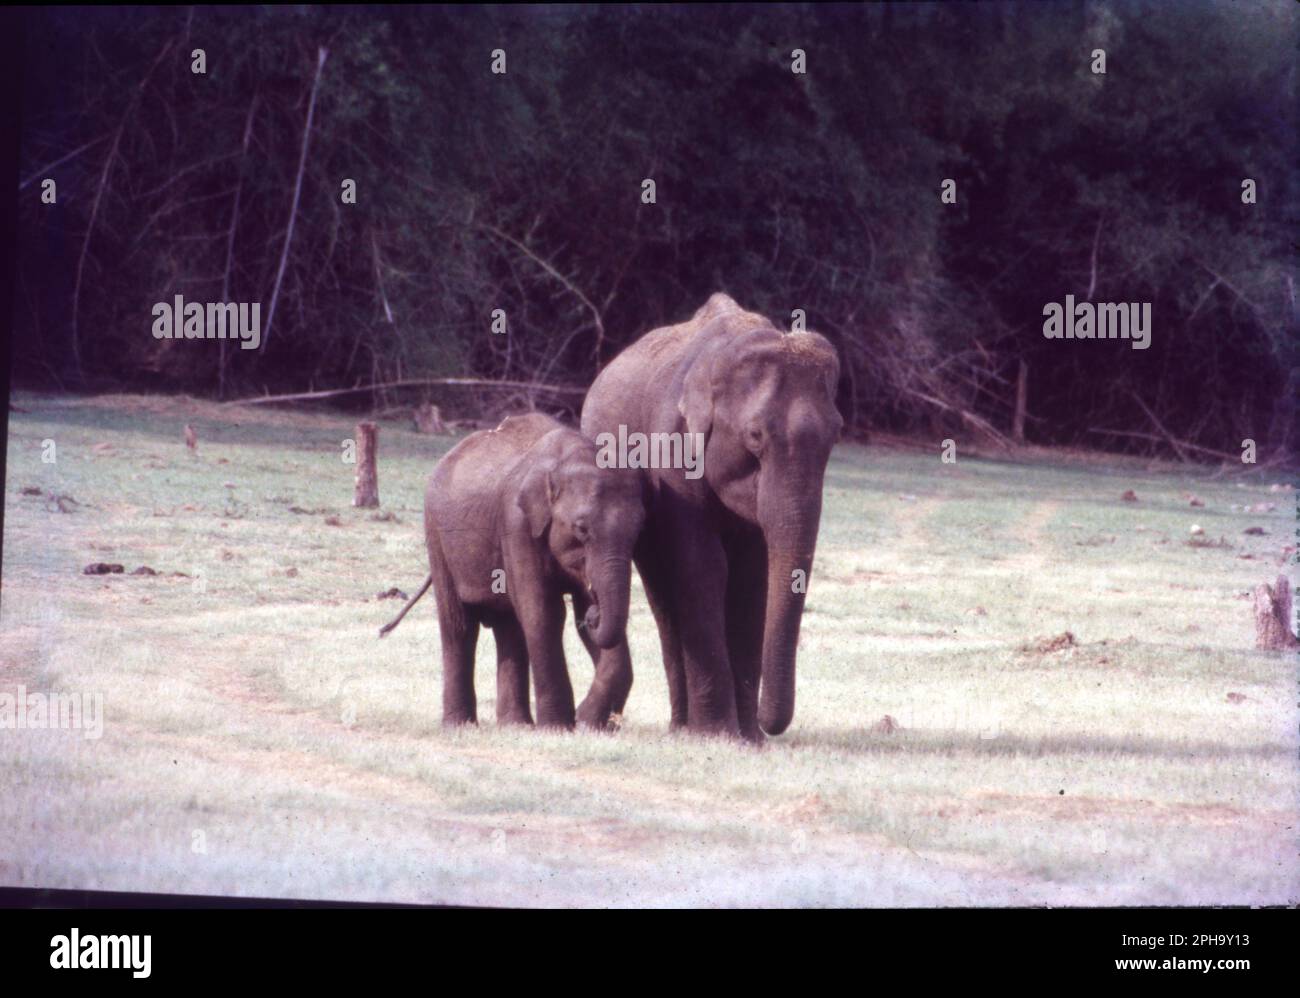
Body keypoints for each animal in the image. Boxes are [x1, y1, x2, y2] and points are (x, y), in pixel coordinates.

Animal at [378, 413, 646, 730]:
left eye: (638, 531)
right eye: (581, 529)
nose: (595, 615)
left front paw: (588, 722)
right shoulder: (516, 524)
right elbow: (543, 613)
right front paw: (558, 727)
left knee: (509, 627)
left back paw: (515, 725)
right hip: (436, 536)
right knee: (459, 624)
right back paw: (460, 725)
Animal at [581, 293, 841, 741]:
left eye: (835, 438)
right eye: (755, 436)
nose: (768, 727)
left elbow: (752, 576)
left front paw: (748, 741)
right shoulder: (671, 453)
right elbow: (704, 568)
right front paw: (719, 734)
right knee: (663, 594)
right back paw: (684, 729)